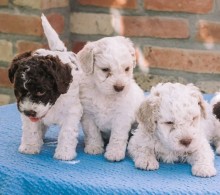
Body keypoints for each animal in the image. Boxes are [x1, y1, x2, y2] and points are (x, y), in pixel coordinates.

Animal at [7, 14, 82, 161]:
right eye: (18, 92)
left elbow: (67, 132)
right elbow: (31, 129)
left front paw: (64, 153)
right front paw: (30, 147)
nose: (30, 112)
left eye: (41, 91)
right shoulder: (26, 111)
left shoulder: (72, 111)